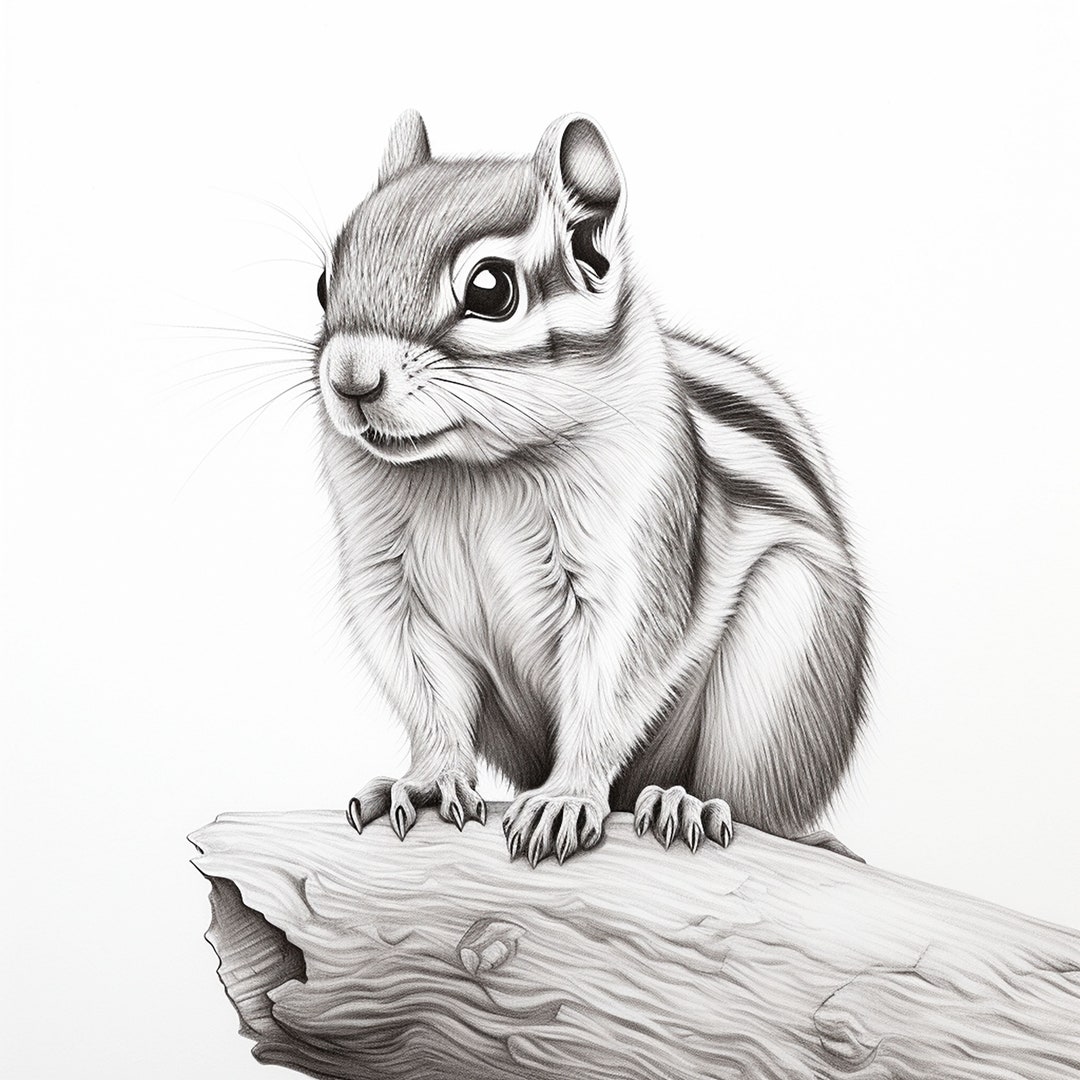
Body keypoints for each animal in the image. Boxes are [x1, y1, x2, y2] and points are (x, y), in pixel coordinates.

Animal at [315, 110, 869, 866]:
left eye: (490, 289)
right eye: (322, 283)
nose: (351, 381)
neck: (472, 471)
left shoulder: (629, 561)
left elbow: (612, 681)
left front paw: (568, 795)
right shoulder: (389, 588)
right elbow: (427, 693)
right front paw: (429, 780)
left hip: (787, 660)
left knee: (760, 811)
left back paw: (686, 801)